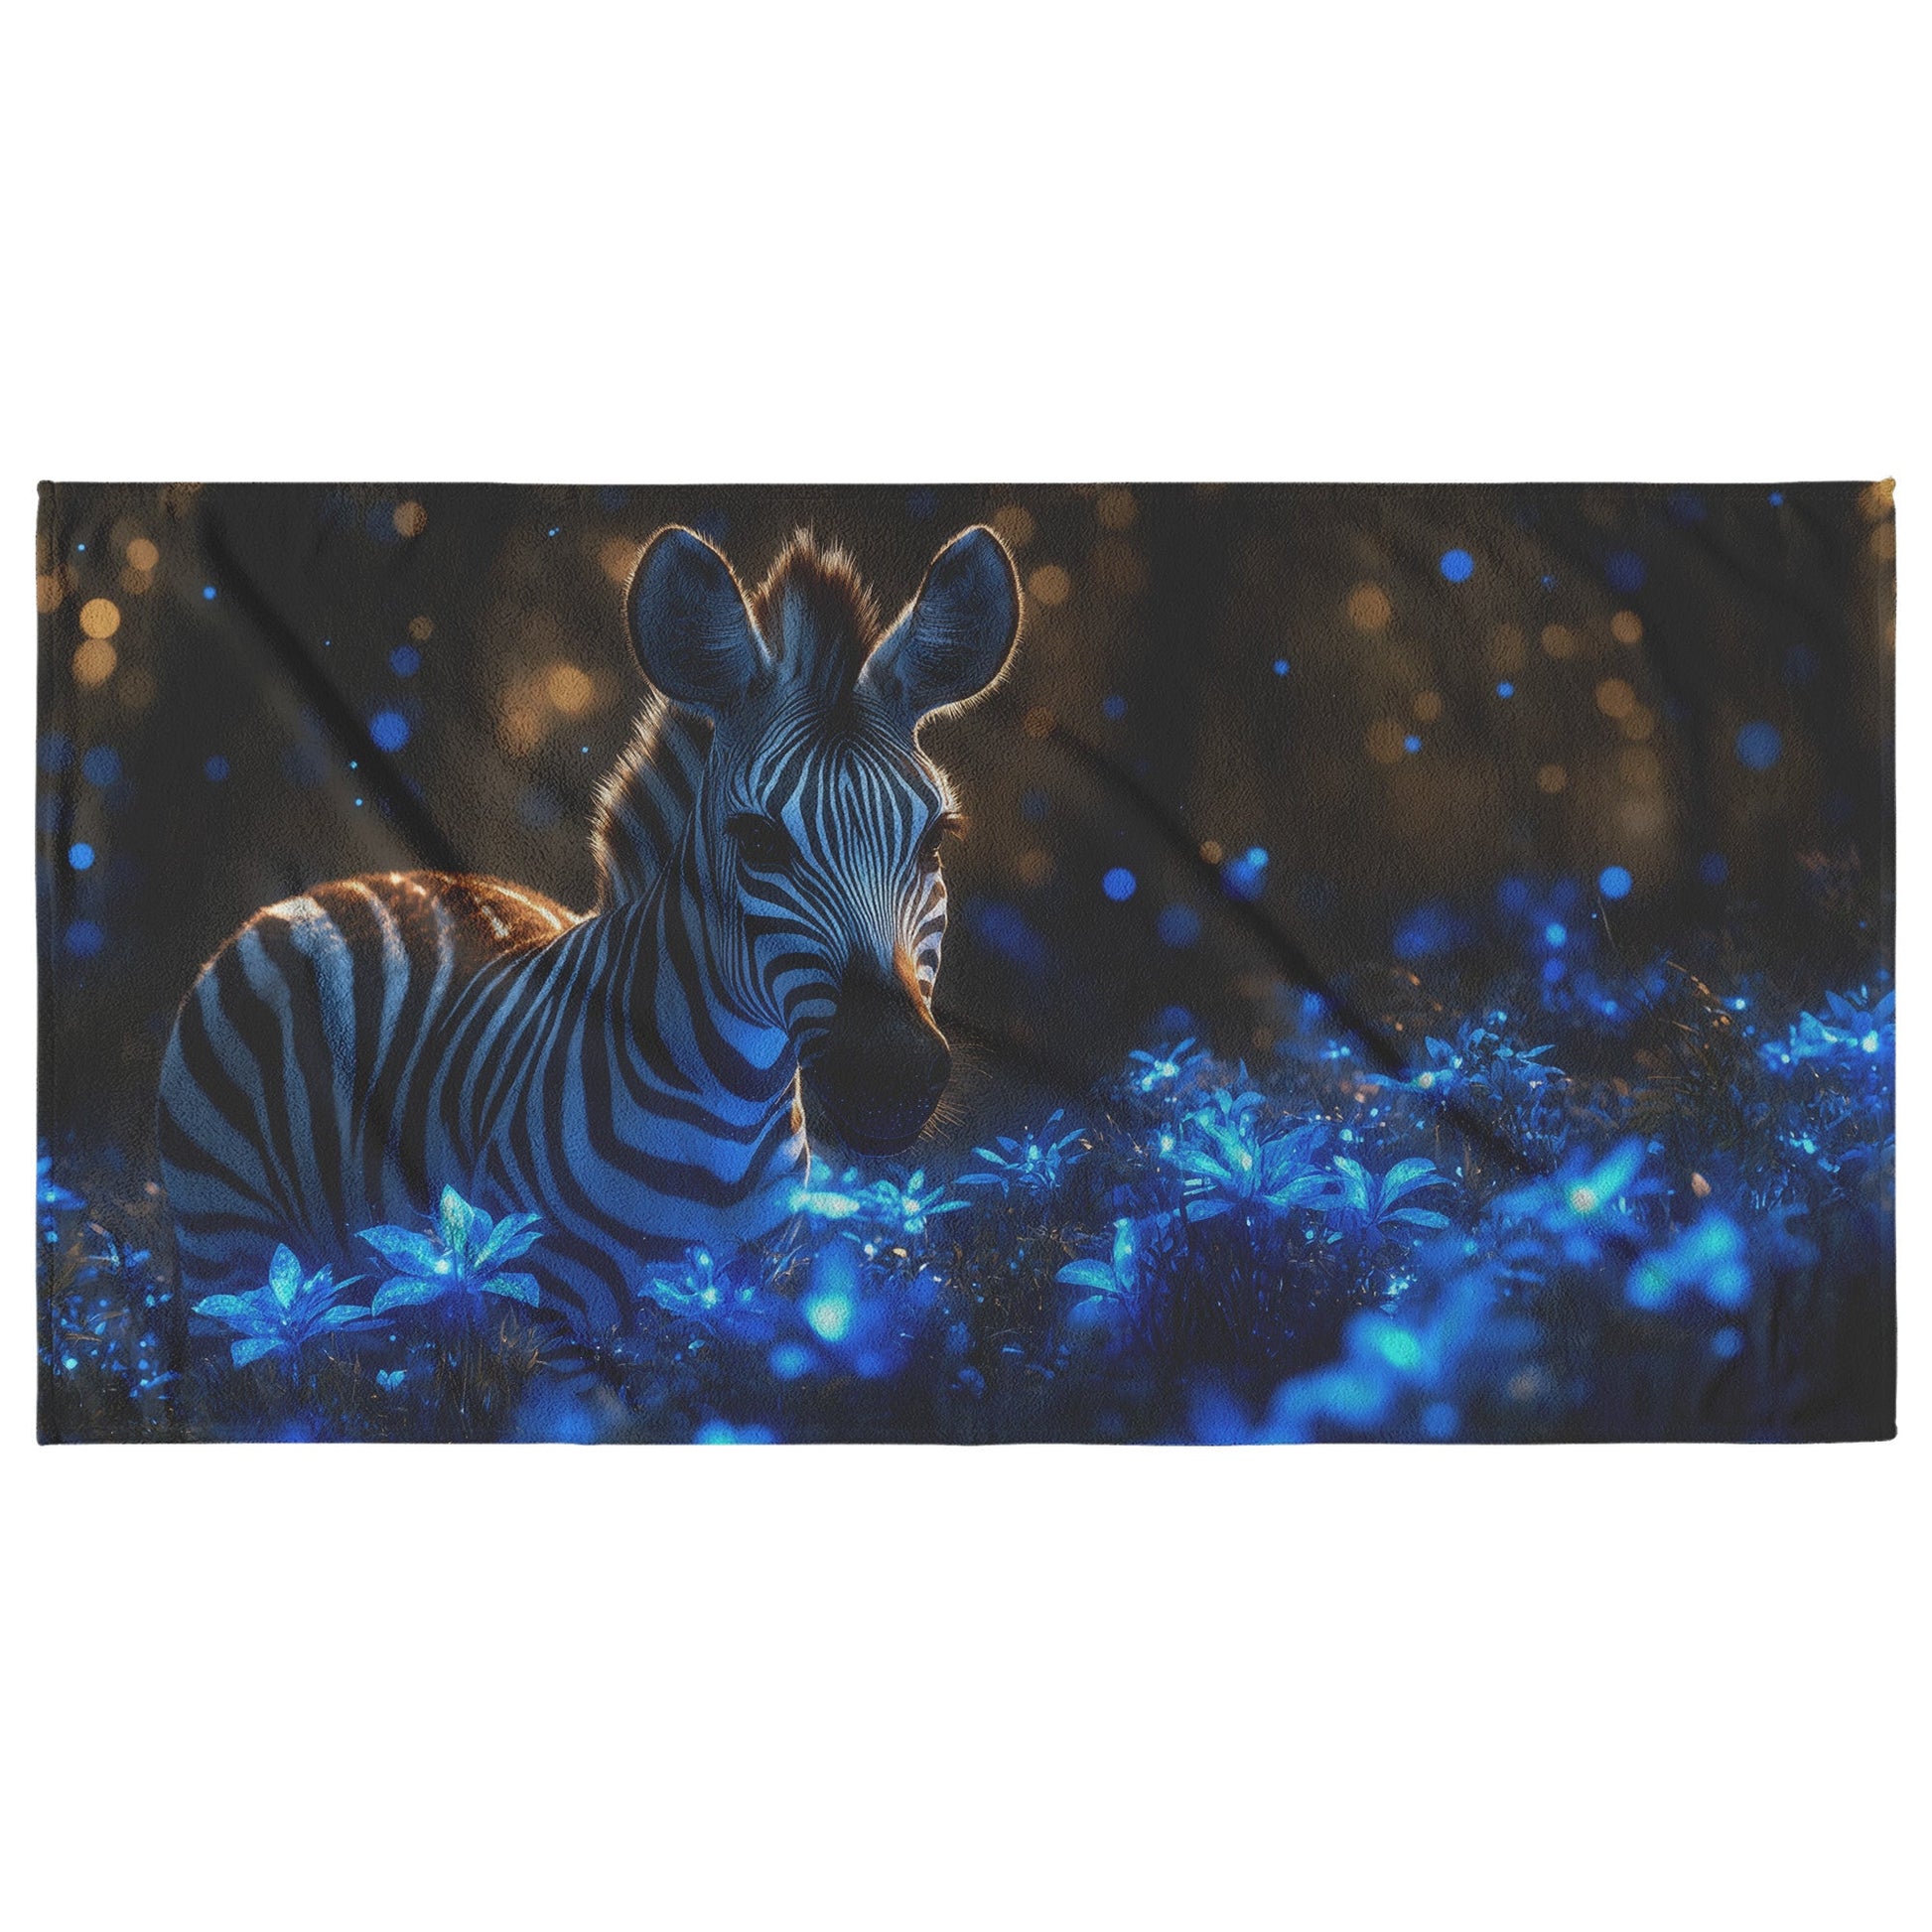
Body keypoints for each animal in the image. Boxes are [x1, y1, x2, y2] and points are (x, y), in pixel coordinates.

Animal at [157, 522, 1023, 1335]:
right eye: (757, 842)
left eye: (935, 839)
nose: (893, 1075)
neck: (726, 1121)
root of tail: (333, 888)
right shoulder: (547, 1311)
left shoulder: (752, 1305)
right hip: (227, 1241)